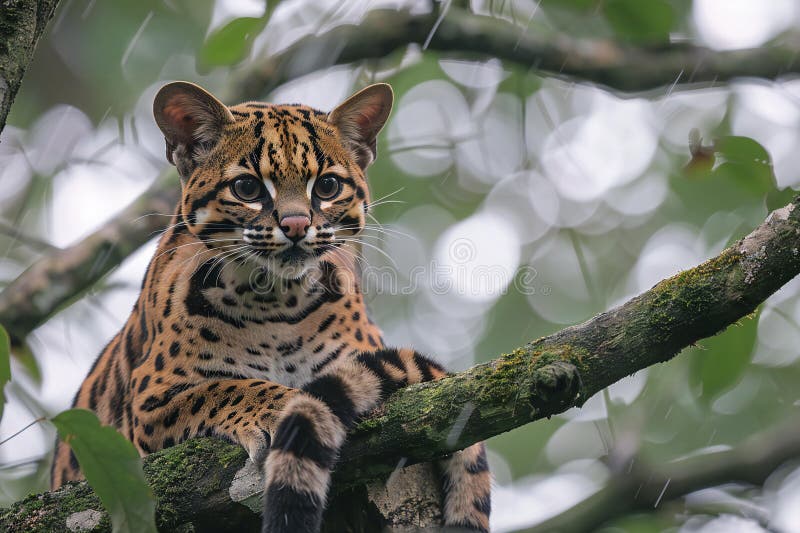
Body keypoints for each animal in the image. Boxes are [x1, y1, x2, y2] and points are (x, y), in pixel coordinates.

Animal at [51, 81, 491, 532]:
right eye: (247, 188)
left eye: (327, 187)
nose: (296, 226)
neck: (276, 304)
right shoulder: (149, 402)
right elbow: (221, 388)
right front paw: (278, 407)